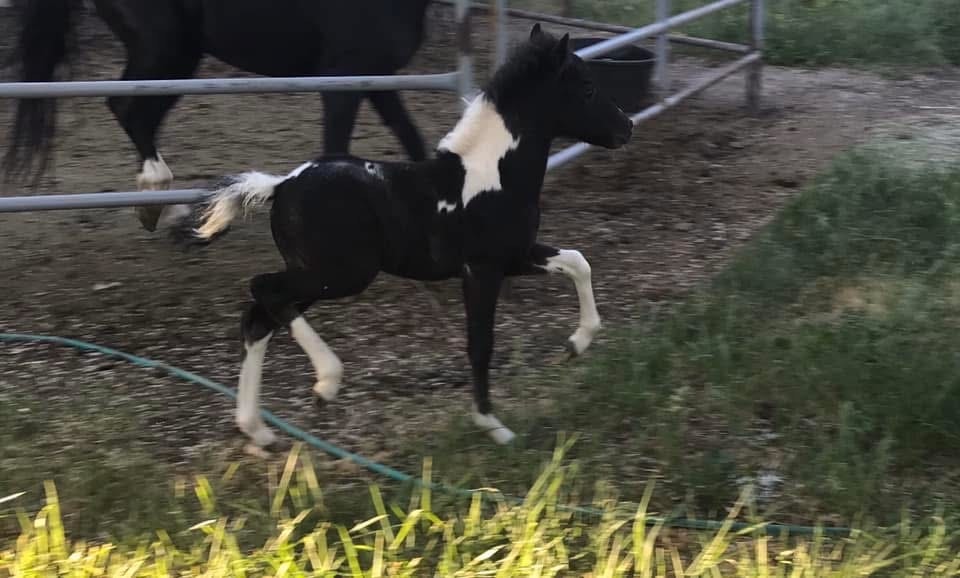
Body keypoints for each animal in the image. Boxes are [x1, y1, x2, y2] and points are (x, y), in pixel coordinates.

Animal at [3, 0, 432, 232]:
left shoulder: (375, 77)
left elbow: (412, 139)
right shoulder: (342, 79)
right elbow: (336, 148)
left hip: (177, 57)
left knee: (136, 113)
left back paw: (168, 211)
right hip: (166, 49)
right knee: (127, 109)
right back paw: (161, 201)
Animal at [180, 24, 634, 448]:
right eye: (587, 87)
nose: (626, 128)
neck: (494, 176)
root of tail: (281, 186)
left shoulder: (516, 256)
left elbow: (577, 261)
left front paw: (577, 343)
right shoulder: (482, 269)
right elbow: (481, 341)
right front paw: (493, 425)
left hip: (317, 275)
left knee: (259, 318)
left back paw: (258, 431)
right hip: (338, 275)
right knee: (264, 291)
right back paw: (326, 382)